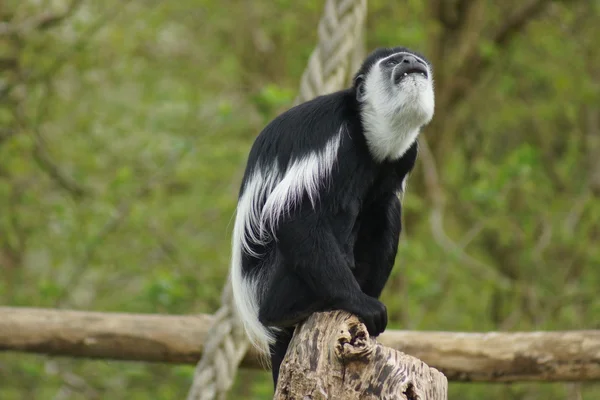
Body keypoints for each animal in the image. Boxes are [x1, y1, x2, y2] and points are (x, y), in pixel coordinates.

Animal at [229, 46, 432, 384]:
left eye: (418, 61)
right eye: (393, 61)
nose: (410, 61)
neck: (368, 130)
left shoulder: (405, 155)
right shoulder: (338, 138)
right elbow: (293, 216)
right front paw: (361, 303)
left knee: (385, 210)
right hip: (271, 283)